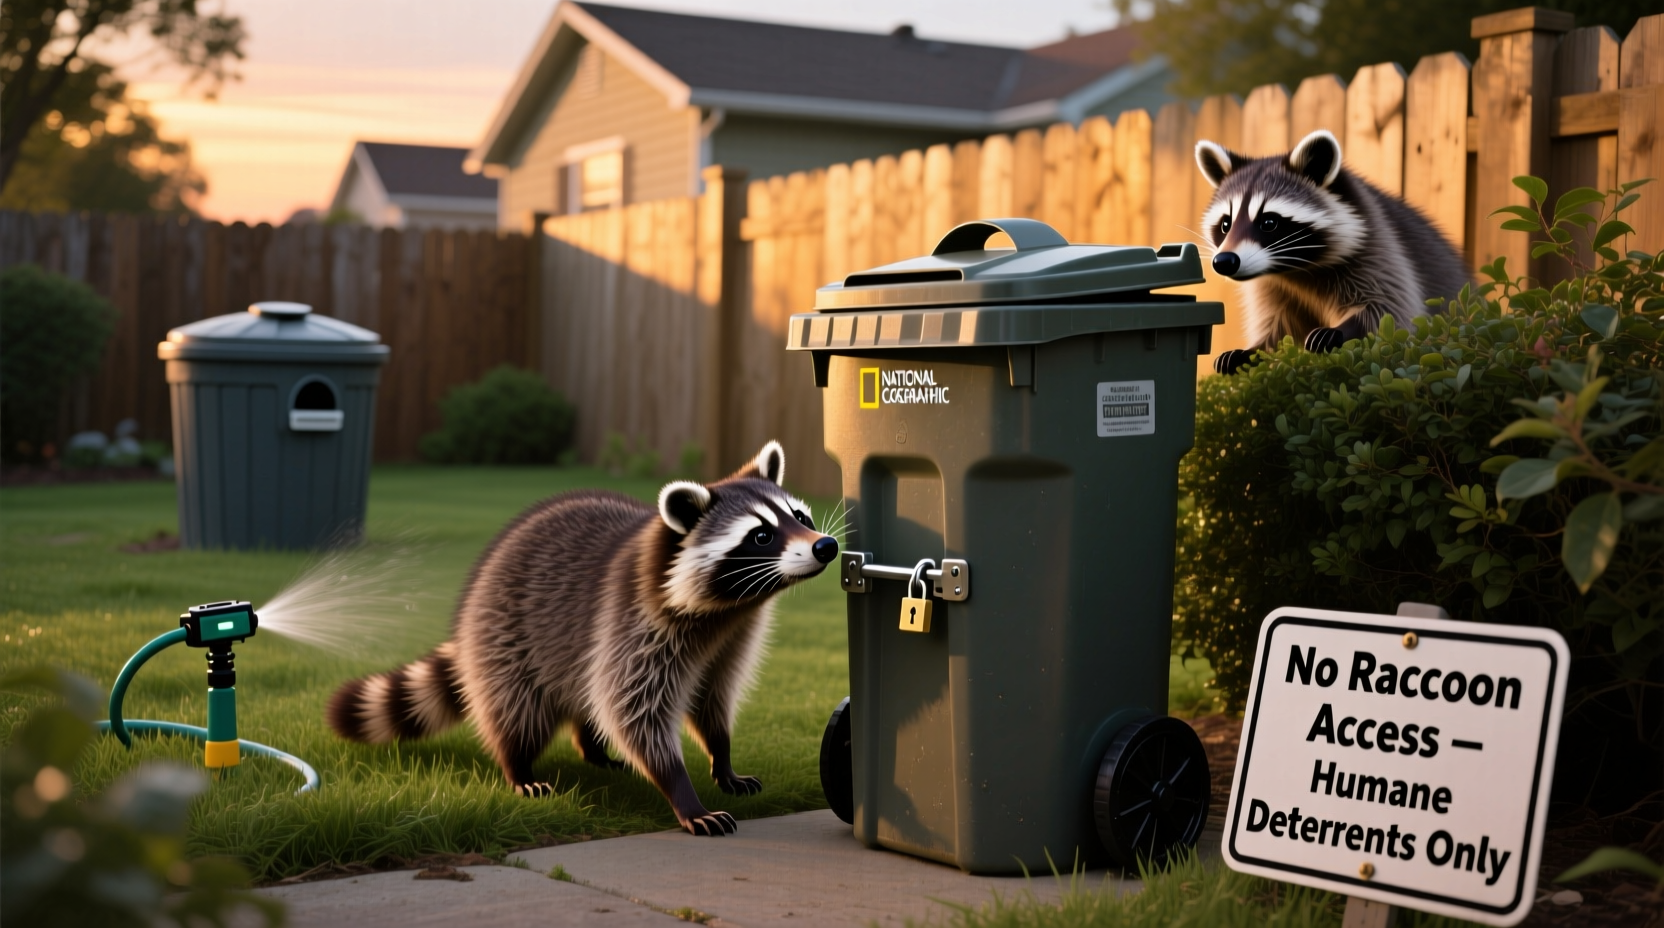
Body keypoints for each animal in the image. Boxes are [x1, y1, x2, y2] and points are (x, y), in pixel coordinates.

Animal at [327, 441, 839, 836]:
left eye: (798, 515)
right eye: (760, 535)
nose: (825, 546)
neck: (728, 609)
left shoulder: (732, 638)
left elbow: (712, 697)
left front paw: (722, 757)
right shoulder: (635, 625)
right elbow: (634, 710)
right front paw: (682, 791)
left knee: (584, 694)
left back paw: (591, 747)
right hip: (506, 635)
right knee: (518, 707)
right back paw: (517, 766)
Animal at [1194, 129, 1471, 374]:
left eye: (1269, 222)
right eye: (1226, 224)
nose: (1224, 261)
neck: (1293, 268)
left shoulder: (1378, 249)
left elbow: (1392, 311)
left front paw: (1342, 330)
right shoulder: (1273, 285)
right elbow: (1279, 328)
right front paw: (1253, 350)